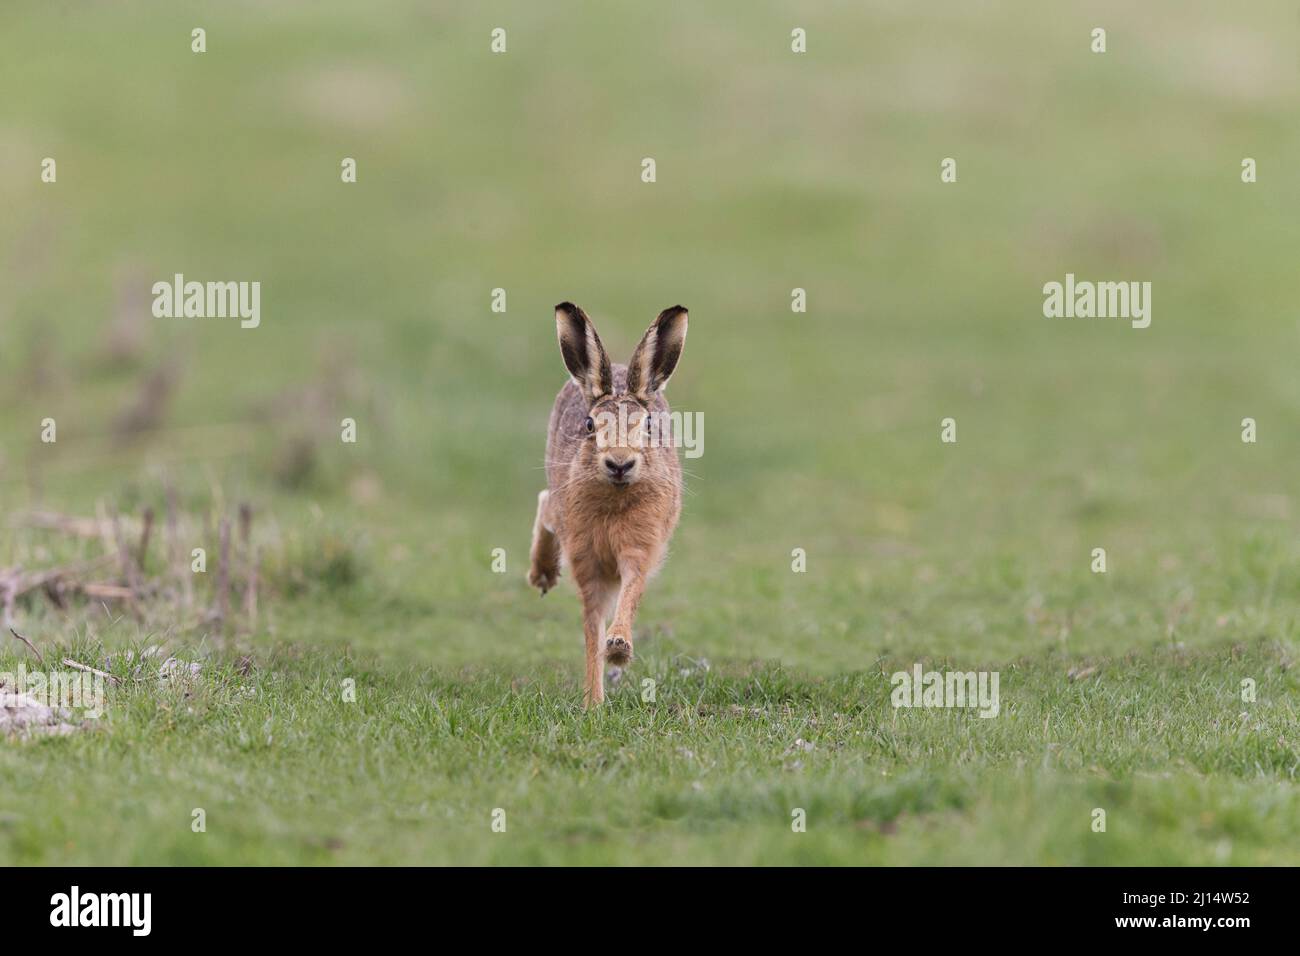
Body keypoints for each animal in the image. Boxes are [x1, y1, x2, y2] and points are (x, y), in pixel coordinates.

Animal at [528, 302, 689, 706]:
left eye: (647, 425)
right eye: (589, 425)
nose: (619, 463)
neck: (615, 499)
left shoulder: (640, 547)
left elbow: (630, 593)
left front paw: (618, 648)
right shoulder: (585, 560)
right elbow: (591, 628)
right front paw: (593, 703)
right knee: (546, 504)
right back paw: (542, 574)